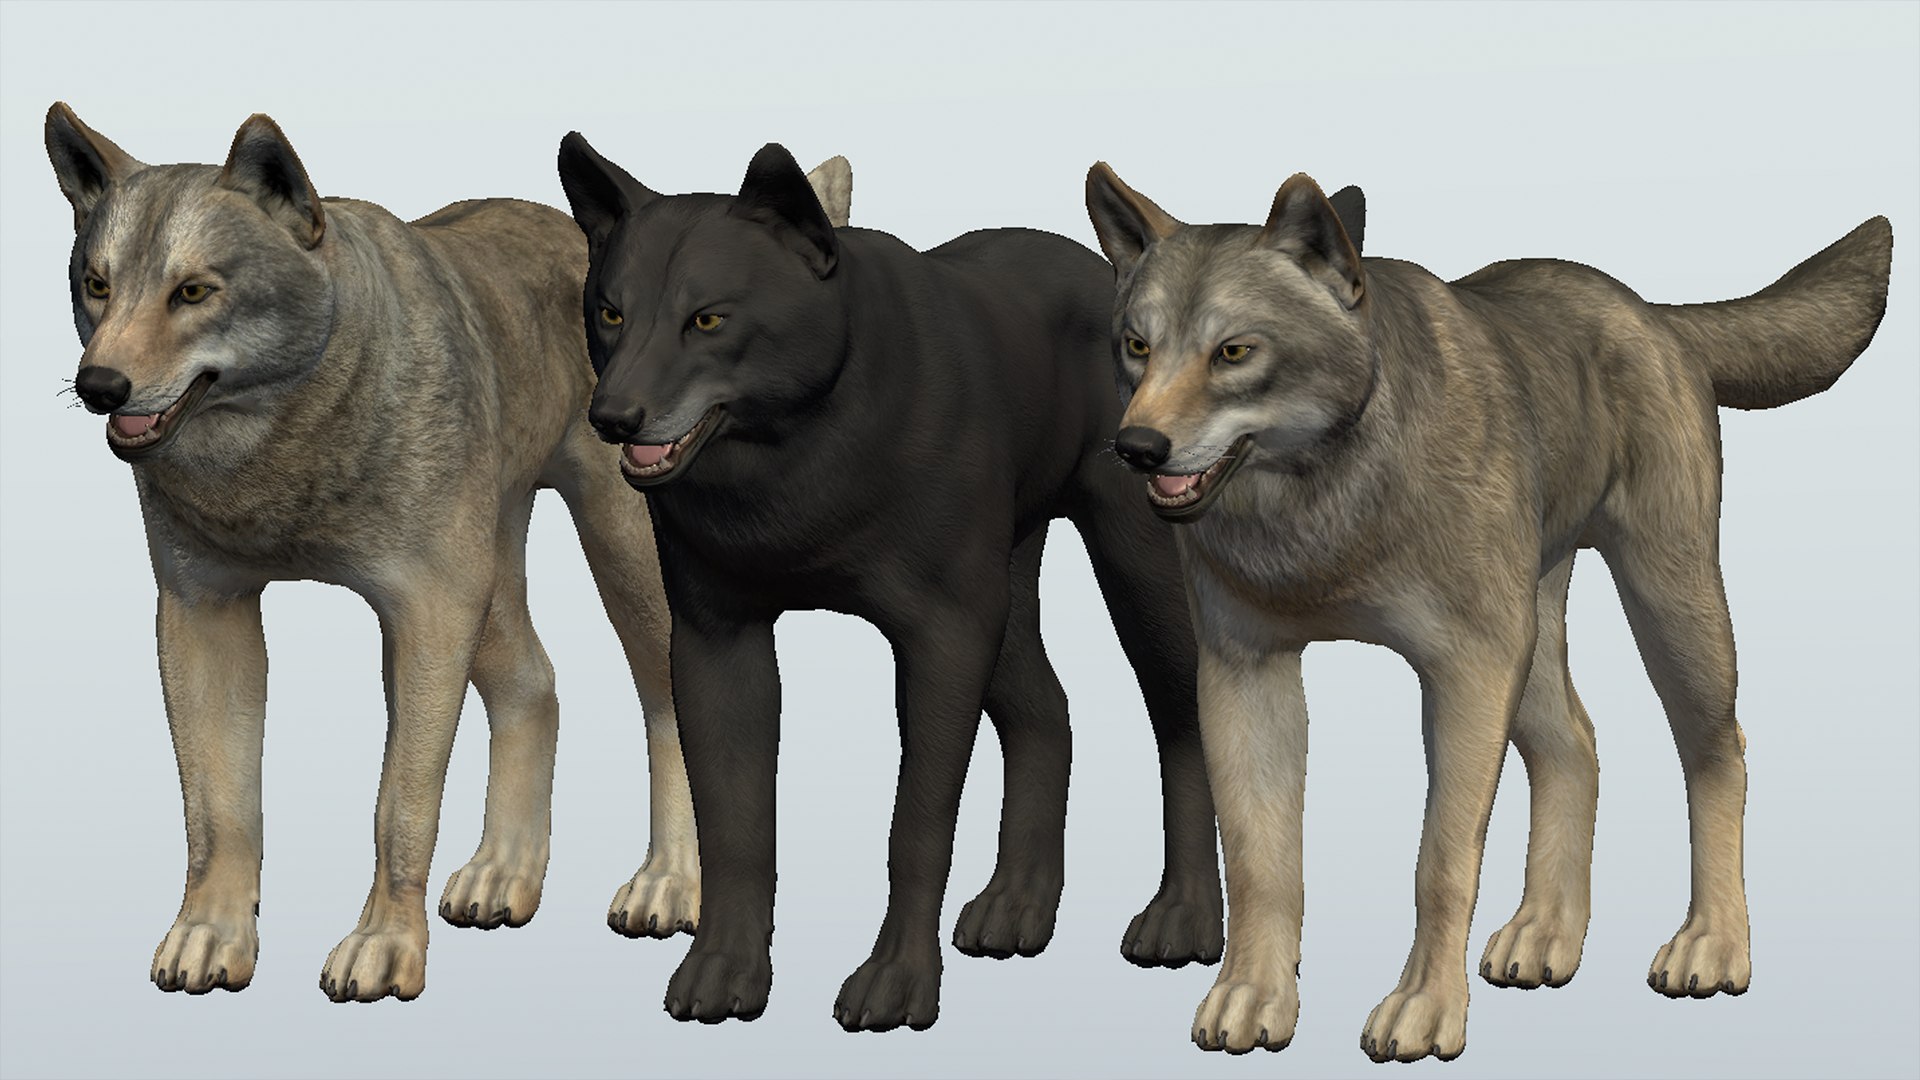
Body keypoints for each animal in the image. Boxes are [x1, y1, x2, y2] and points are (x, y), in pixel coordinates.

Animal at [44, 104, 851, 1002]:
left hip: (618, 565)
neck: (291, 438)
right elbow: (218, 807)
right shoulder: (203, 611)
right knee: (537, 684)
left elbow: (399, 805)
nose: (100, 387)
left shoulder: (424, 612)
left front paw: (384, 946)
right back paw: (506, 872)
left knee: (664, 705)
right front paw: (211, 935)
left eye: (192, 292)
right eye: (97, 285)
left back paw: (669, 883)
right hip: (489, 577)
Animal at [556, 135, 1227, 1031]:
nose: (612, 418)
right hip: (1003, 595)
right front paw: (723, 971)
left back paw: (1184, 920)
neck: (793, 454)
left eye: (708, 318)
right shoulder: (715, 637)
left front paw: (898, 983)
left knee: (1182, 718)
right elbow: (736, 824)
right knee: (1047, 712)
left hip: (1127, 568)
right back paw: (1017, 905)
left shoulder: (941, 632)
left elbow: (915, 826)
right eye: (610, 313)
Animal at [1086, 163, 1892, 1061]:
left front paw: (1423, 1008)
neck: (1323, 508)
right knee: (1577, 744)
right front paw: (1254, 995)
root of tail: (1650, 312)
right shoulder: (1245, 669)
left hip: (1666, 603)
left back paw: (1713, 942)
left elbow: (1440, 861)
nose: (1136, 449)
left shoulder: (1466, 669)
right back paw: (1547, 933)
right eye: (1137, 345)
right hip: (1533, 632)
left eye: (1233, 351)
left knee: (1719, 752)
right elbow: (1262, 859)